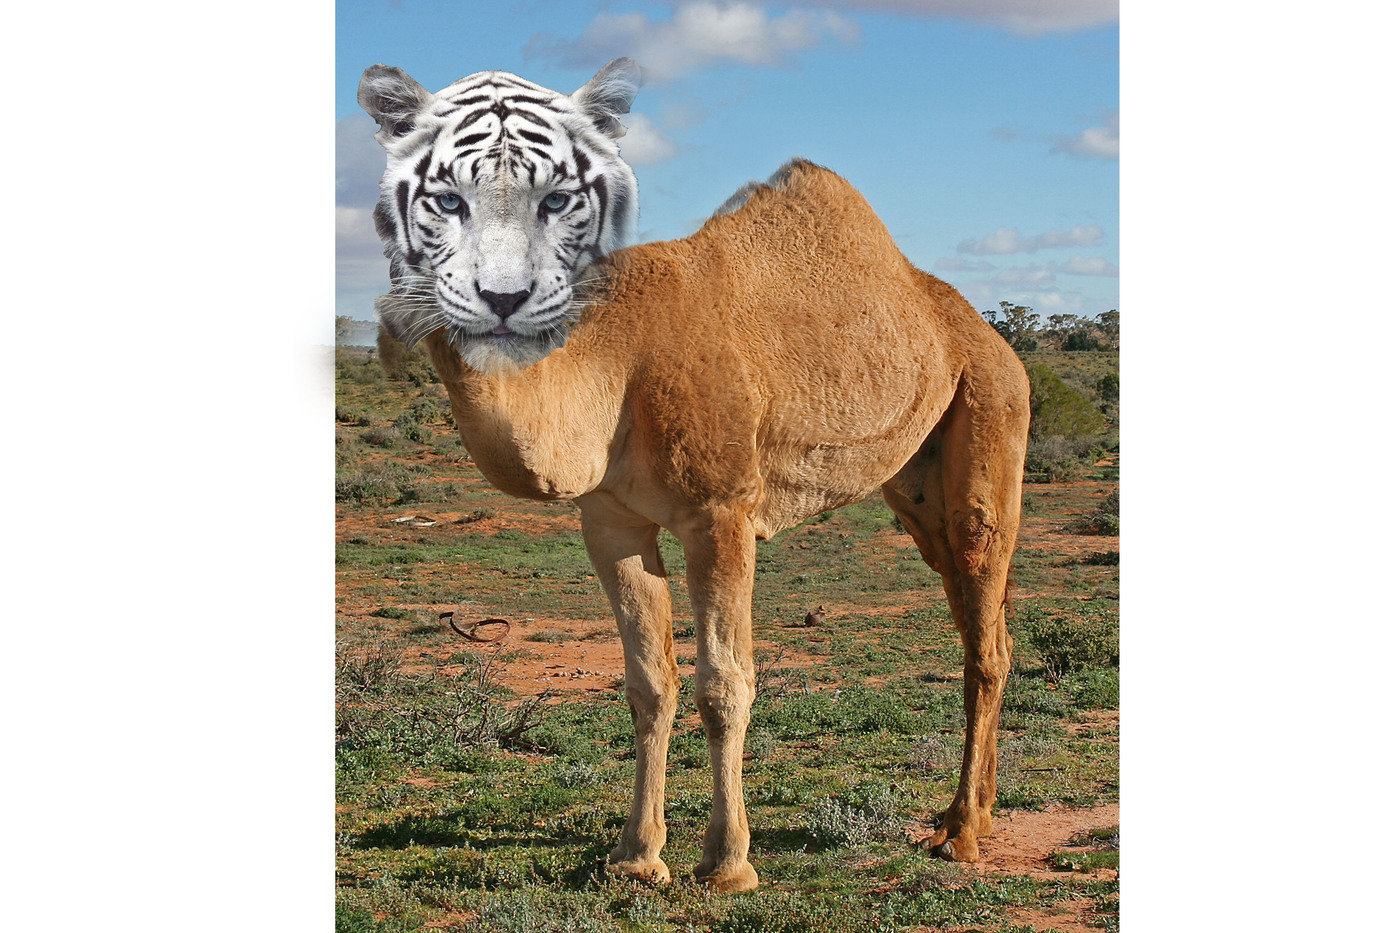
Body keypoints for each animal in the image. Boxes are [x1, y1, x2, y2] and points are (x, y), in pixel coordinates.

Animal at [376, 158, 1029, 893]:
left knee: (984, 630)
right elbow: (648, 684)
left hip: (991, 409)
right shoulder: (610, 520)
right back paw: (971, 813)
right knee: (983, 616)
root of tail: (992, 340)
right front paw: (636, 856)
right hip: (919, 485)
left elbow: (724, 684)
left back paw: (963, 832)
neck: (607, 360)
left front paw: (727, 862)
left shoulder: (721, 512)